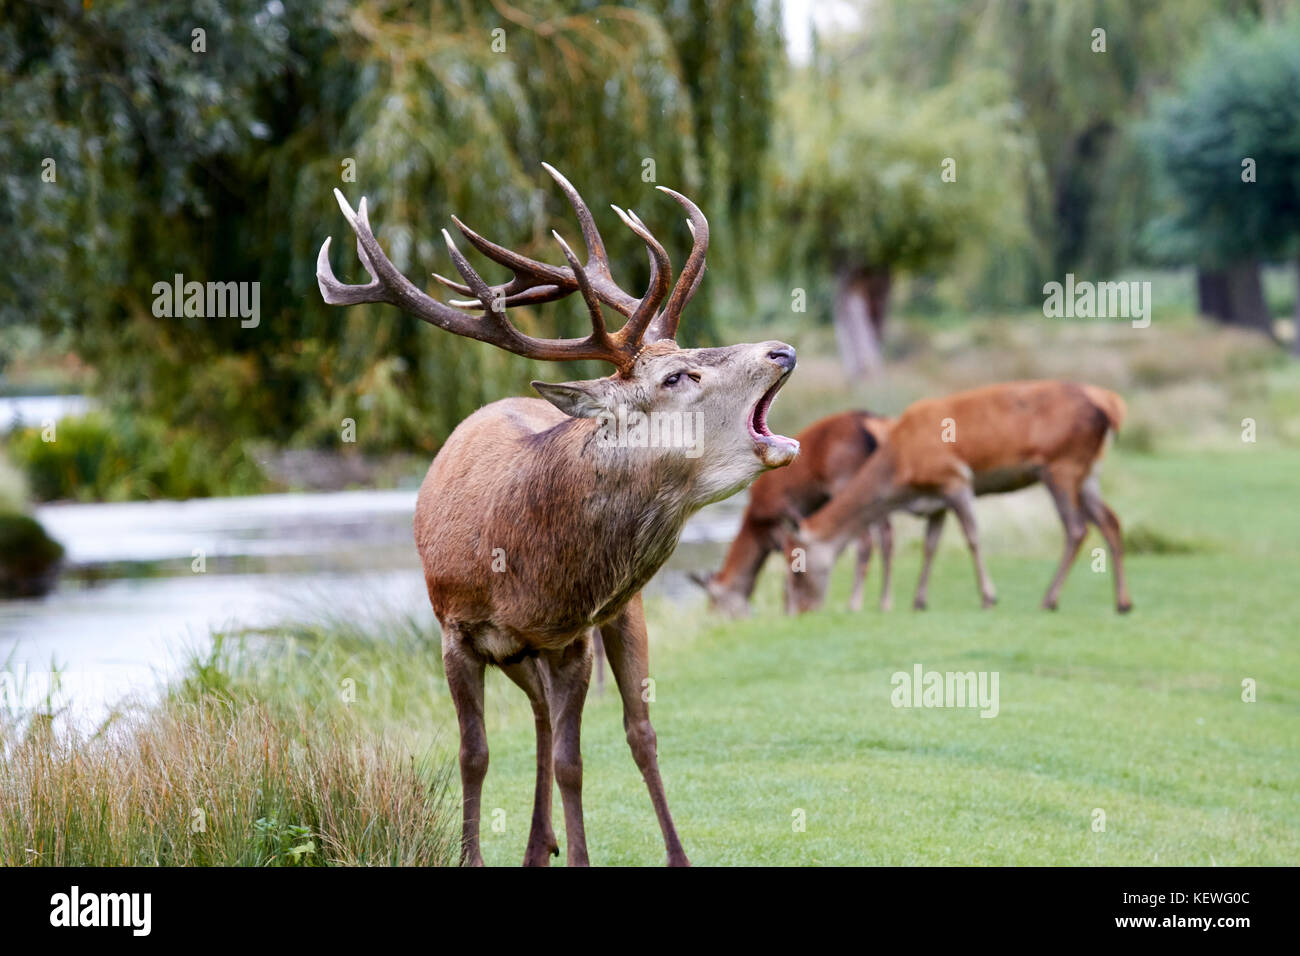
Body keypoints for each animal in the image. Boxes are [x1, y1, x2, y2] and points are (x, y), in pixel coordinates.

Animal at [317, 163, 800, 867]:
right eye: (677, 377)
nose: (782, 350)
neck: (519, 566)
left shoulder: (572, 633)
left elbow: (576, 761)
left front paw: (578, 854)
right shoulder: (454, 630)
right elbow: (474, 754)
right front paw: (475, 855)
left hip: (620, 613)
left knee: (637, 731)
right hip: (521, 652)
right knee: (543, 718)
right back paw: (535, 845)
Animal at [785, 381, 1132, 615]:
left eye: (797, 568)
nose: (801, 610)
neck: (901, 474)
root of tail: (1111, 406)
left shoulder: (955, 480)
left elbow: (973, 537)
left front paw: (989, 597)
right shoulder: (936, 501)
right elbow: (930, 546)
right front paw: (919, 600)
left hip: (1062, 465)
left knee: (1077, 527)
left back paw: (1049, 599)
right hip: (1089, 472)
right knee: (1110, 520)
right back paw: (1123, 602)